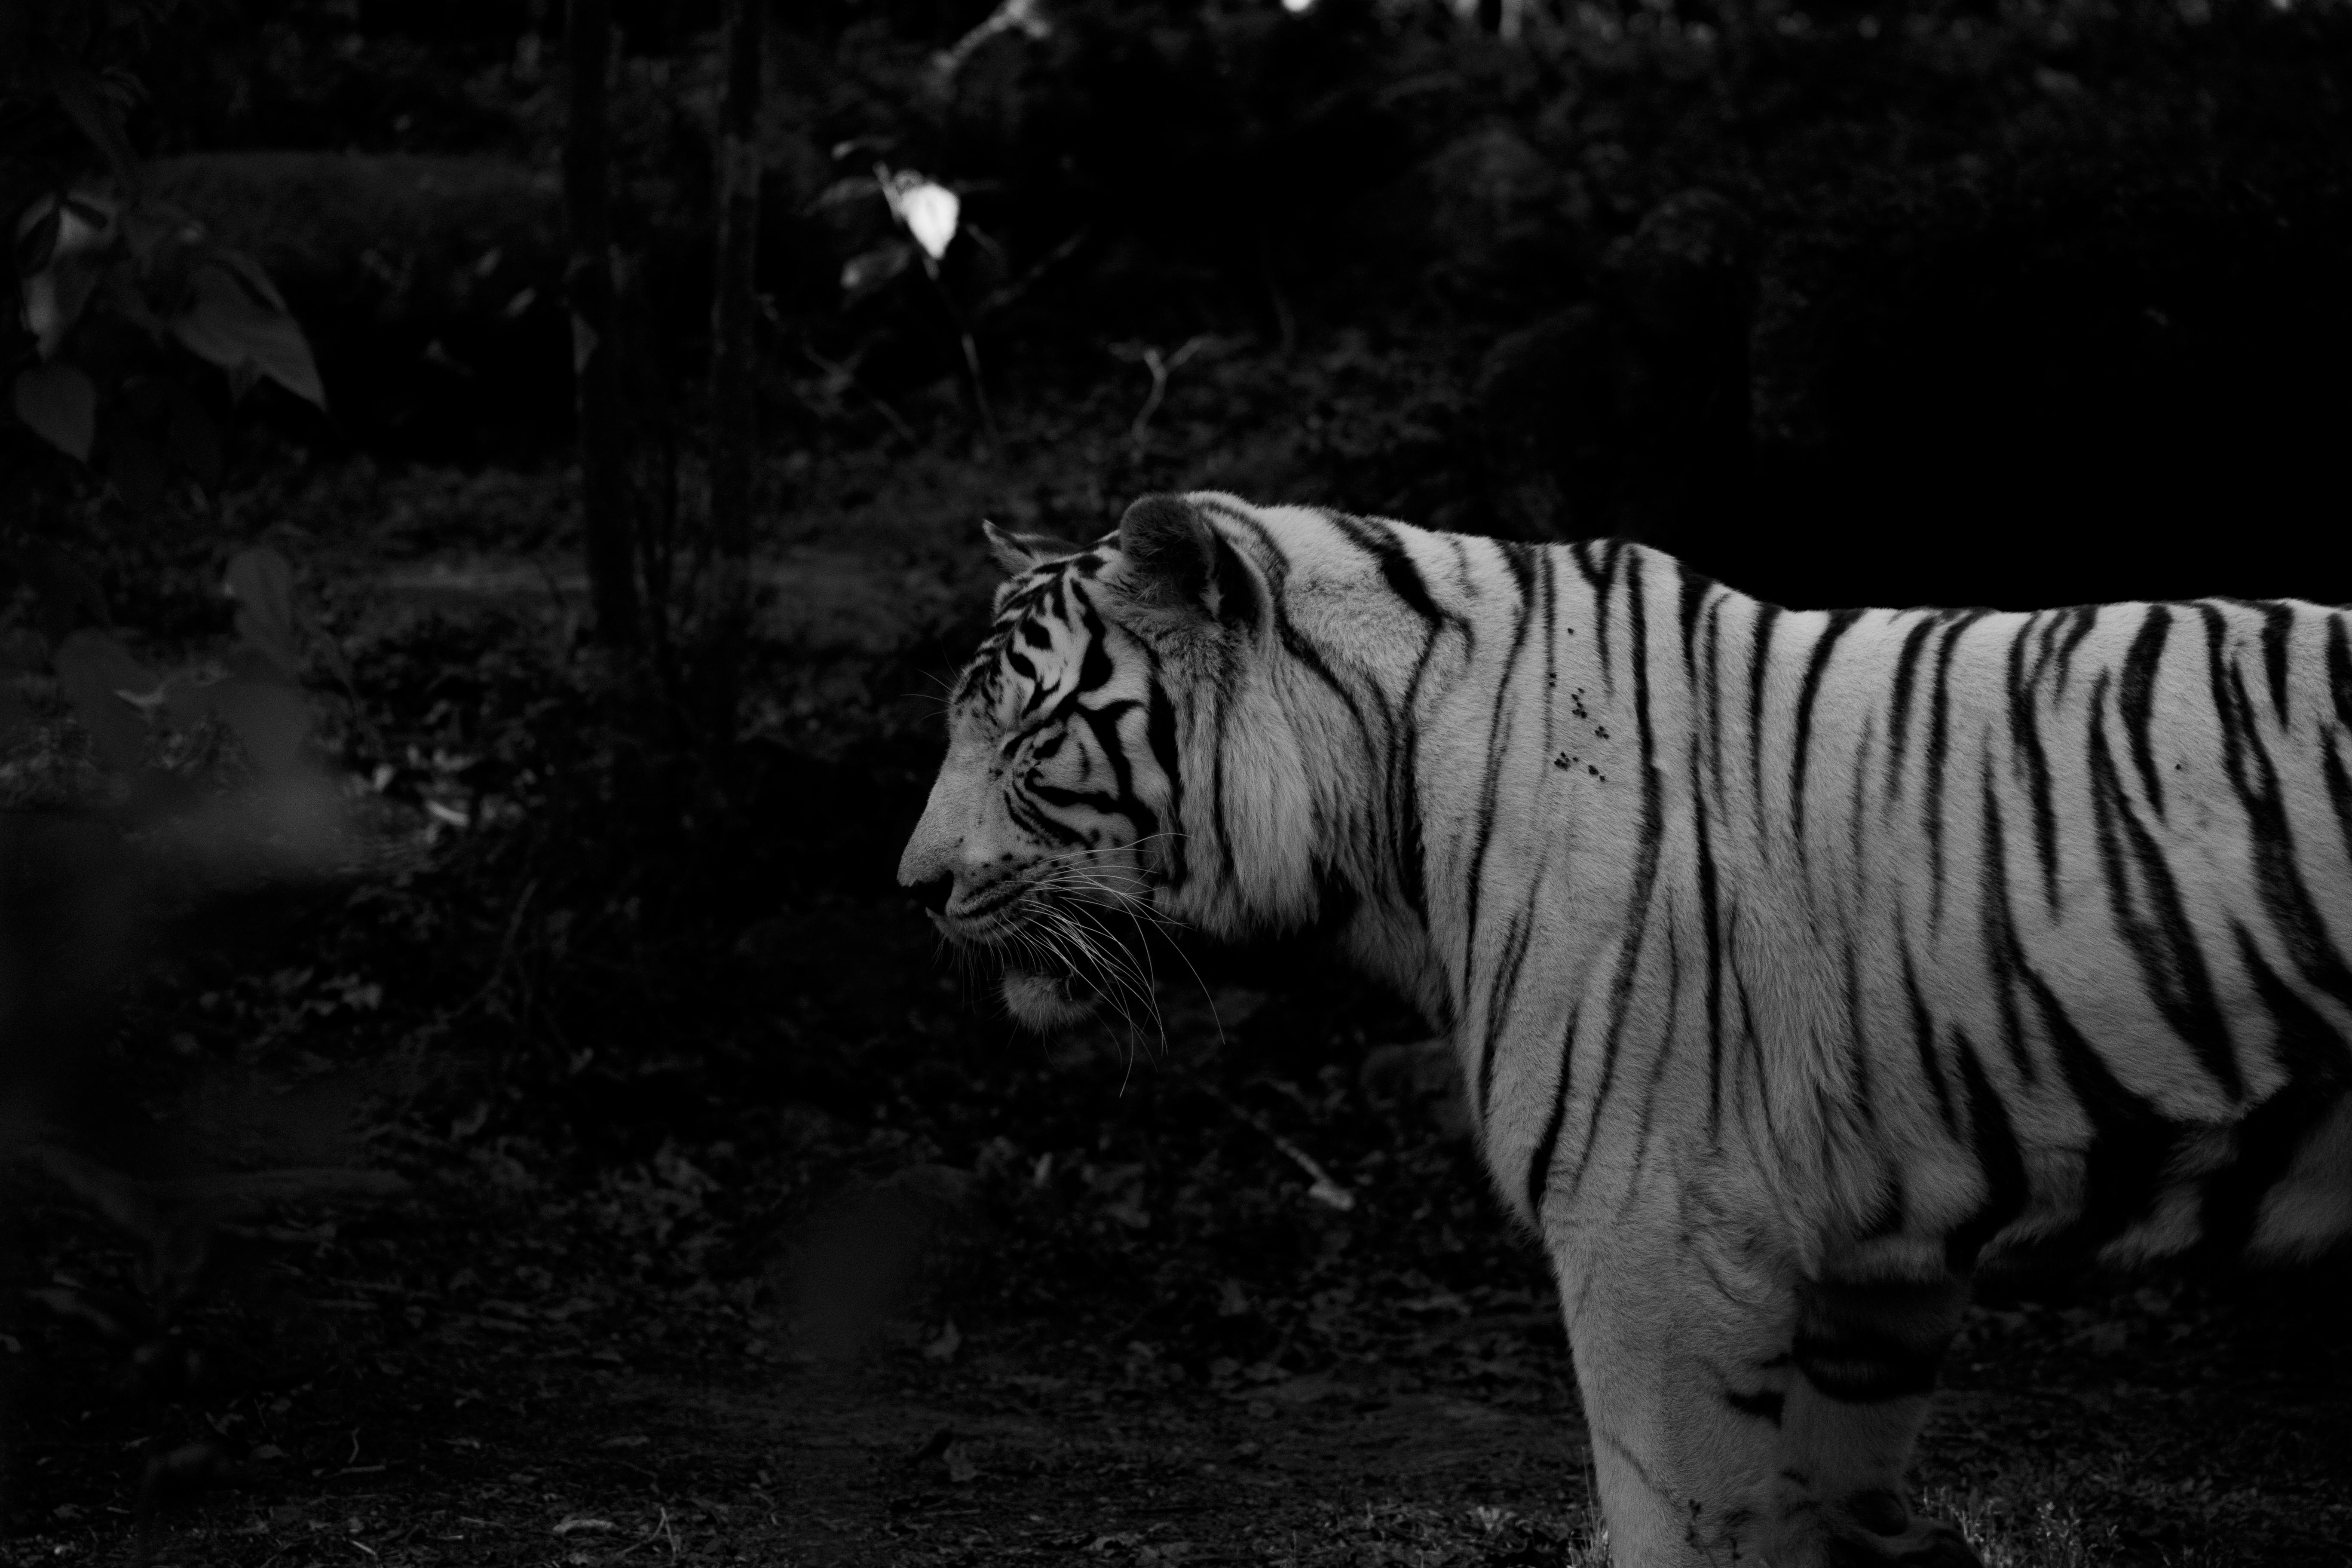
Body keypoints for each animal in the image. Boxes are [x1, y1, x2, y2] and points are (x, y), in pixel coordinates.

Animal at [896, 490, 2352, 1568]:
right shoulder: (1878, 1264)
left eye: (1028, 737)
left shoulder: (1656, 1227)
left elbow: (1677, 1518)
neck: (1389, 800)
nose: (913, 885)